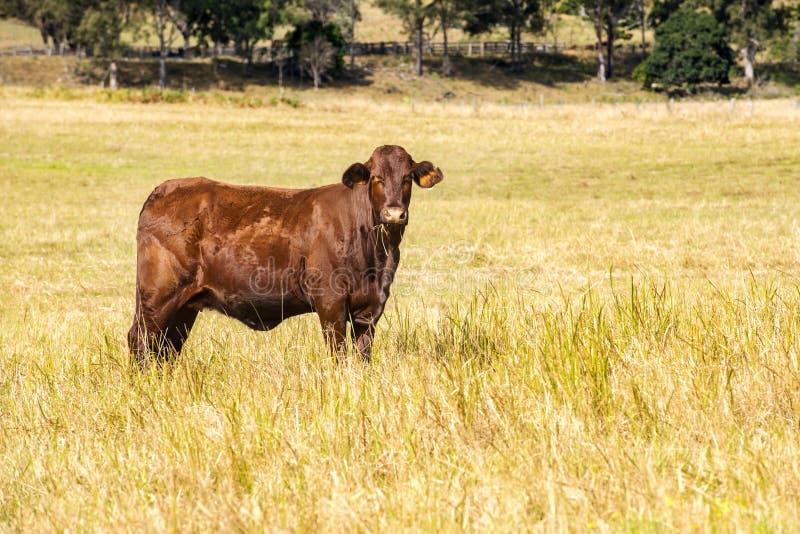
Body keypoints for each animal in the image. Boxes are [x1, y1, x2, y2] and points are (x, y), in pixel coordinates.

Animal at [127, 145, 443, 366]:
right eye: (376, 177)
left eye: (407, 178)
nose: (394, 213)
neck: (375, 254)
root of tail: (164, 189)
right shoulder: (331, 303)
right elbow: (338, 355)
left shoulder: (371, 307)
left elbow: (362, 356)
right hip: (158, 297)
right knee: (141, 340)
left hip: (185, 305)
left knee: (167, 347)